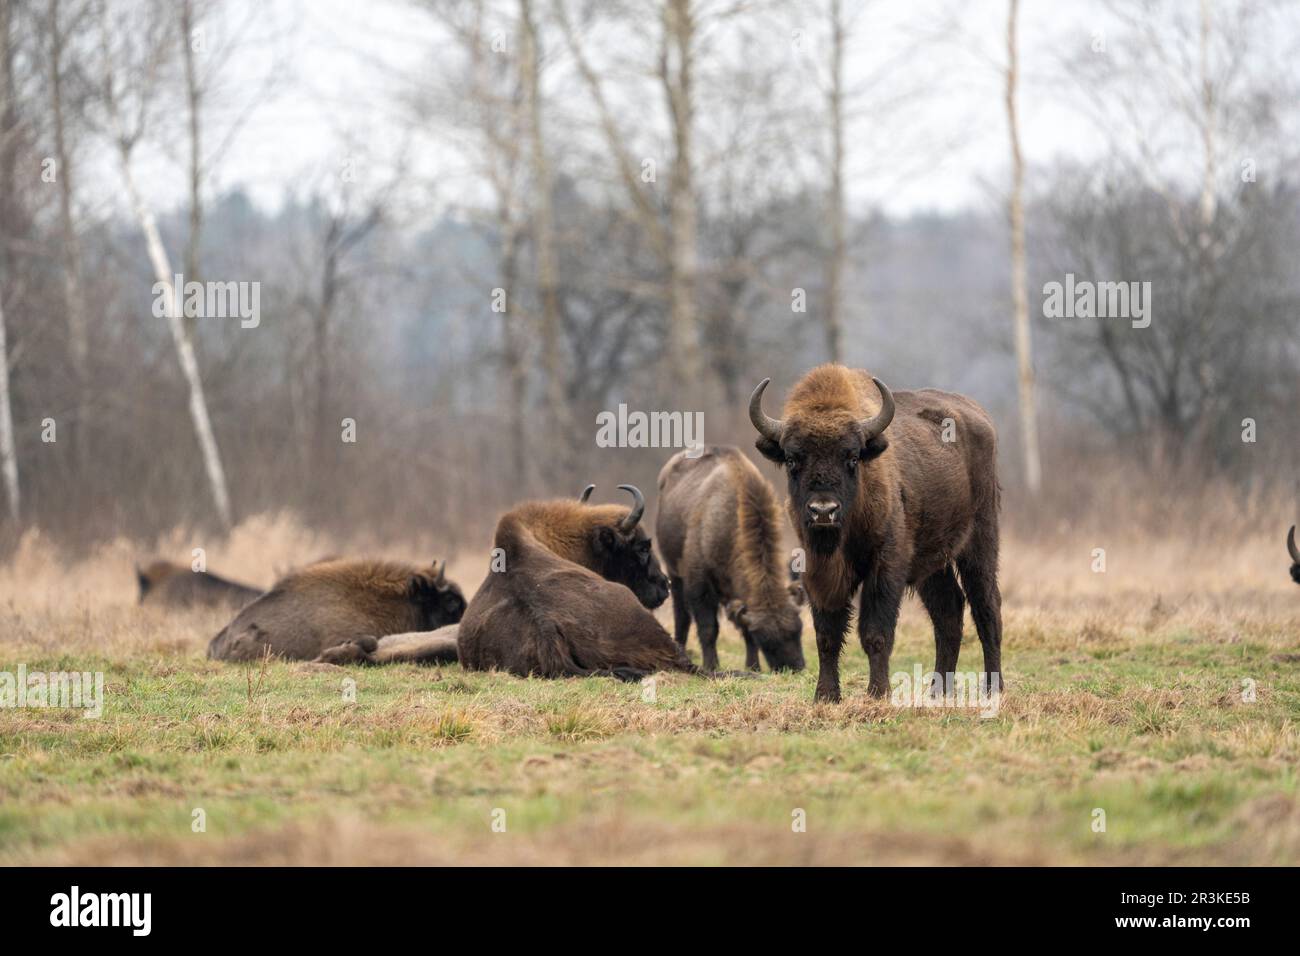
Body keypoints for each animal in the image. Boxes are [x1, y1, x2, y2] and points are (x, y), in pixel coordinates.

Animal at [656, 446, 805, 672]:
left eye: (798, 630)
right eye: (766, 641)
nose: (795, 668)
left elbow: (745, 633)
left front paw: (753, 667)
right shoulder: (699, 585)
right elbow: (708, 628)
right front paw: (712, 666)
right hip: (674, 573)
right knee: (681, 616)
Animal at [749, 364, 1003, 703]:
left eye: (852, 457)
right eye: (792, 459)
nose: (823, 511)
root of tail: (980, 417)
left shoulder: (885, 568)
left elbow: (875, 633)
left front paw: (878, 693)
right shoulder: (817, 571)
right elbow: (827, 635)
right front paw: (826, 695)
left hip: (980, 542)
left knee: (987, 607)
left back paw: (993, 689)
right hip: (932, 565)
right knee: (948, 611)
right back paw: (938, 692)